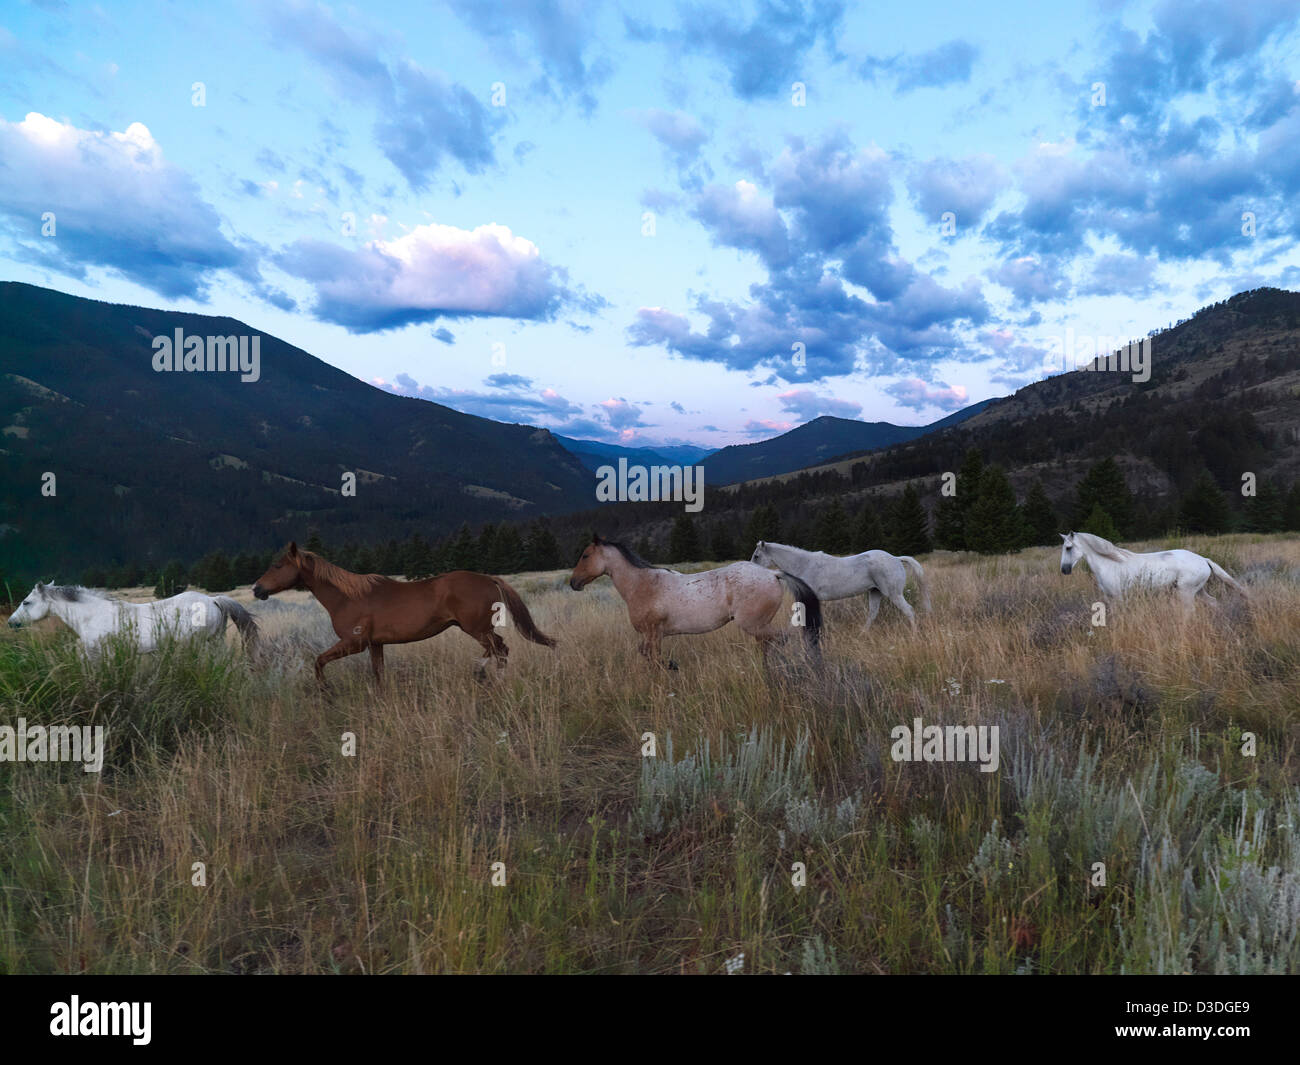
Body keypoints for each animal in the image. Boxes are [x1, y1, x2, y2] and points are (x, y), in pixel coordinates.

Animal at [251, 542, 555, 687]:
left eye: (277, 565)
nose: (257, 589)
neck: (348, 597)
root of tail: (489, 578)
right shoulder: (375, 644)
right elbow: (378, 674)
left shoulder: (354, 643)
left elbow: (319, 661)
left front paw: (326, 691)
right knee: (499, 649)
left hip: (478, 629)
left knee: (501, 649)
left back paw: (484, 676)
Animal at [567, 534, 821, 668]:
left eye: (585, 556)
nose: (573, 582)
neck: (642, 585)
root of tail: (773, 574)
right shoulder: (652, 636)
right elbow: (645, 654)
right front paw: (671, 666)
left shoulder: (653, 633)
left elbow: (654, 659)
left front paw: (669, 669)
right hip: (758, 627)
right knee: (769, 643)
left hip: (754, 624)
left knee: (781, 639)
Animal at [749, 540, 930, 630]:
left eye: (756, 556)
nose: (751, 571)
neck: (803, 564)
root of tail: (896, 558)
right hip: (874, 592)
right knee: (873, 614)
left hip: (894, 594)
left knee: (909, 611)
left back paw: (914, 634)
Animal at [1059, 531, 1248, 613]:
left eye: (1068, 548)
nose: (1064, 570)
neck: (1110, 564)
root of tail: (1204, 559)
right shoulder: (1110, 598)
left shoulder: (1118, 597)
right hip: (1199, 590)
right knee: (1213, 602)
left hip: (1186, 592)